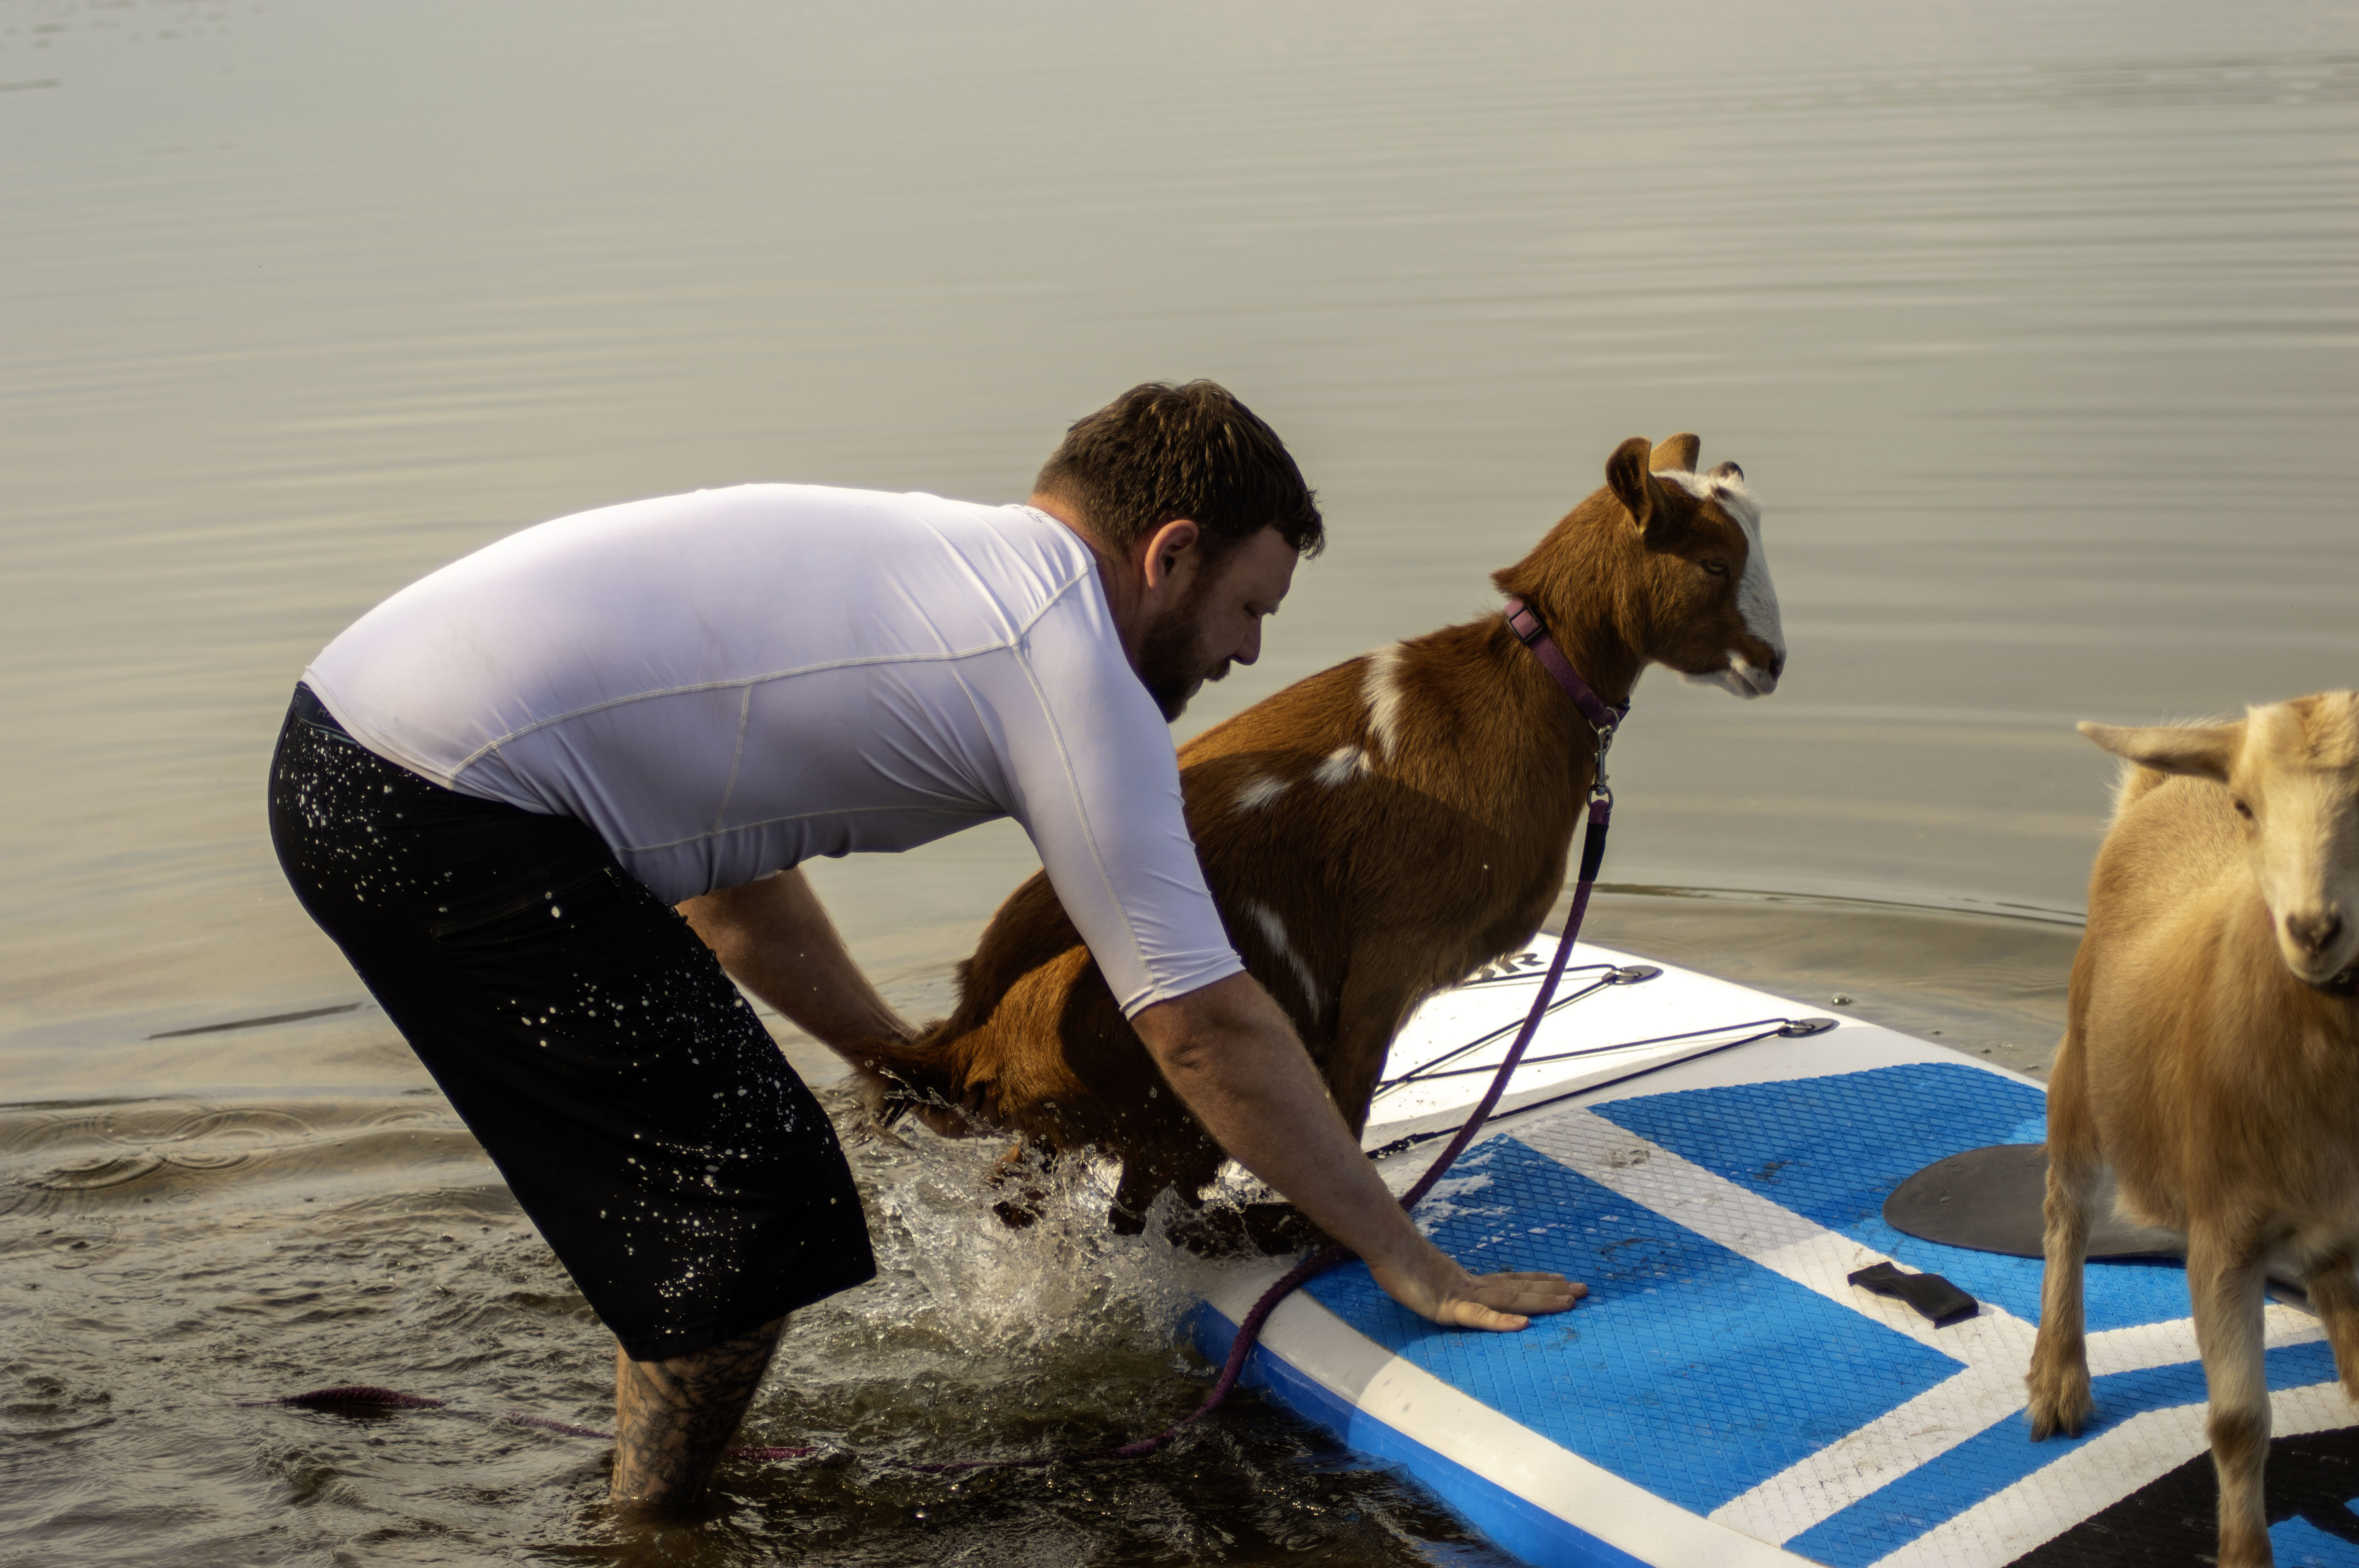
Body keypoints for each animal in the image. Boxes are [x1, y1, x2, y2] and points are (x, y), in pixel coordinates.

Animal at [853, 433, 1786, 1243]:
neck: (1522, 690)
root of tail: (967, 1031)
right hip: (1170, 1104)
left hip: (1081, 1126)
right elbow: (1347, 1107)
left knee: (1028, 1199)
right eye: (1713, 562)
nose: (1773, 662)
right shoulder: (1387, 958)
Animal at [2027, 692, 2359, 1568]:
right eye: (2247, 806)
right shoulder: (2223, 1234)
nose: (2313, 929)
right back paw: (2057, 1378)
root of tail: (2166, 780)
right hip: (2080, 1074)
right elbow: (2239, 1426)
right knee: (2064, 1212)